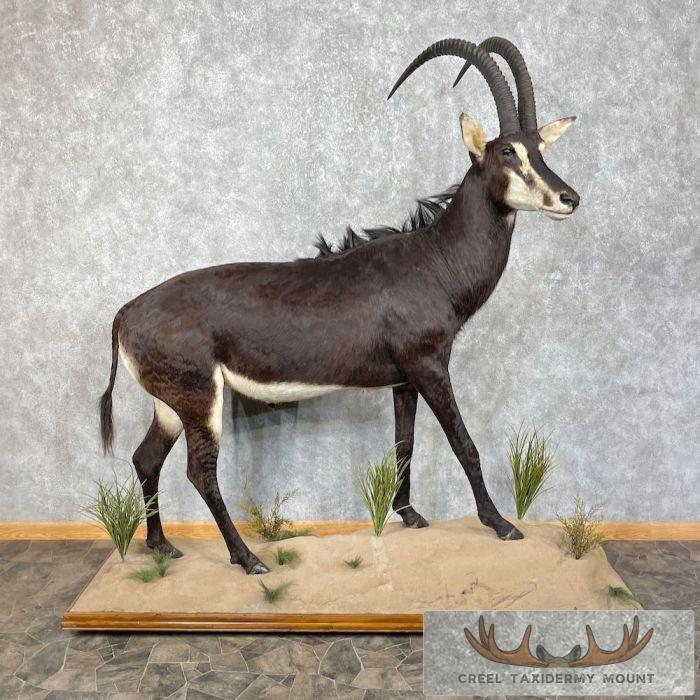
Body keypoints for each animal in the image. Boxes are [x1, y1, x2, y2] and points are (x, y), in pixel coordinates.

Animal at [99, 37, 580, 574]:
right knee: (199, 472)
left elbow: (405, 443)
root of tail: (126, 313)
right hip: (201, 400)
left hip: (169, 404)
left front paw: (409, 514)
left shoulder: (404, 379)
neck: (433, 258)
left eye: (542, 148)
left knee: (146, 458)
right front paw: (501, 524)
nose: (569, 197)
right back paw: (249, 558)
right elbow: (465, 445)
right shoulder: (430, 366)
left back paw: (162, 544)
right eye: (507, 150)